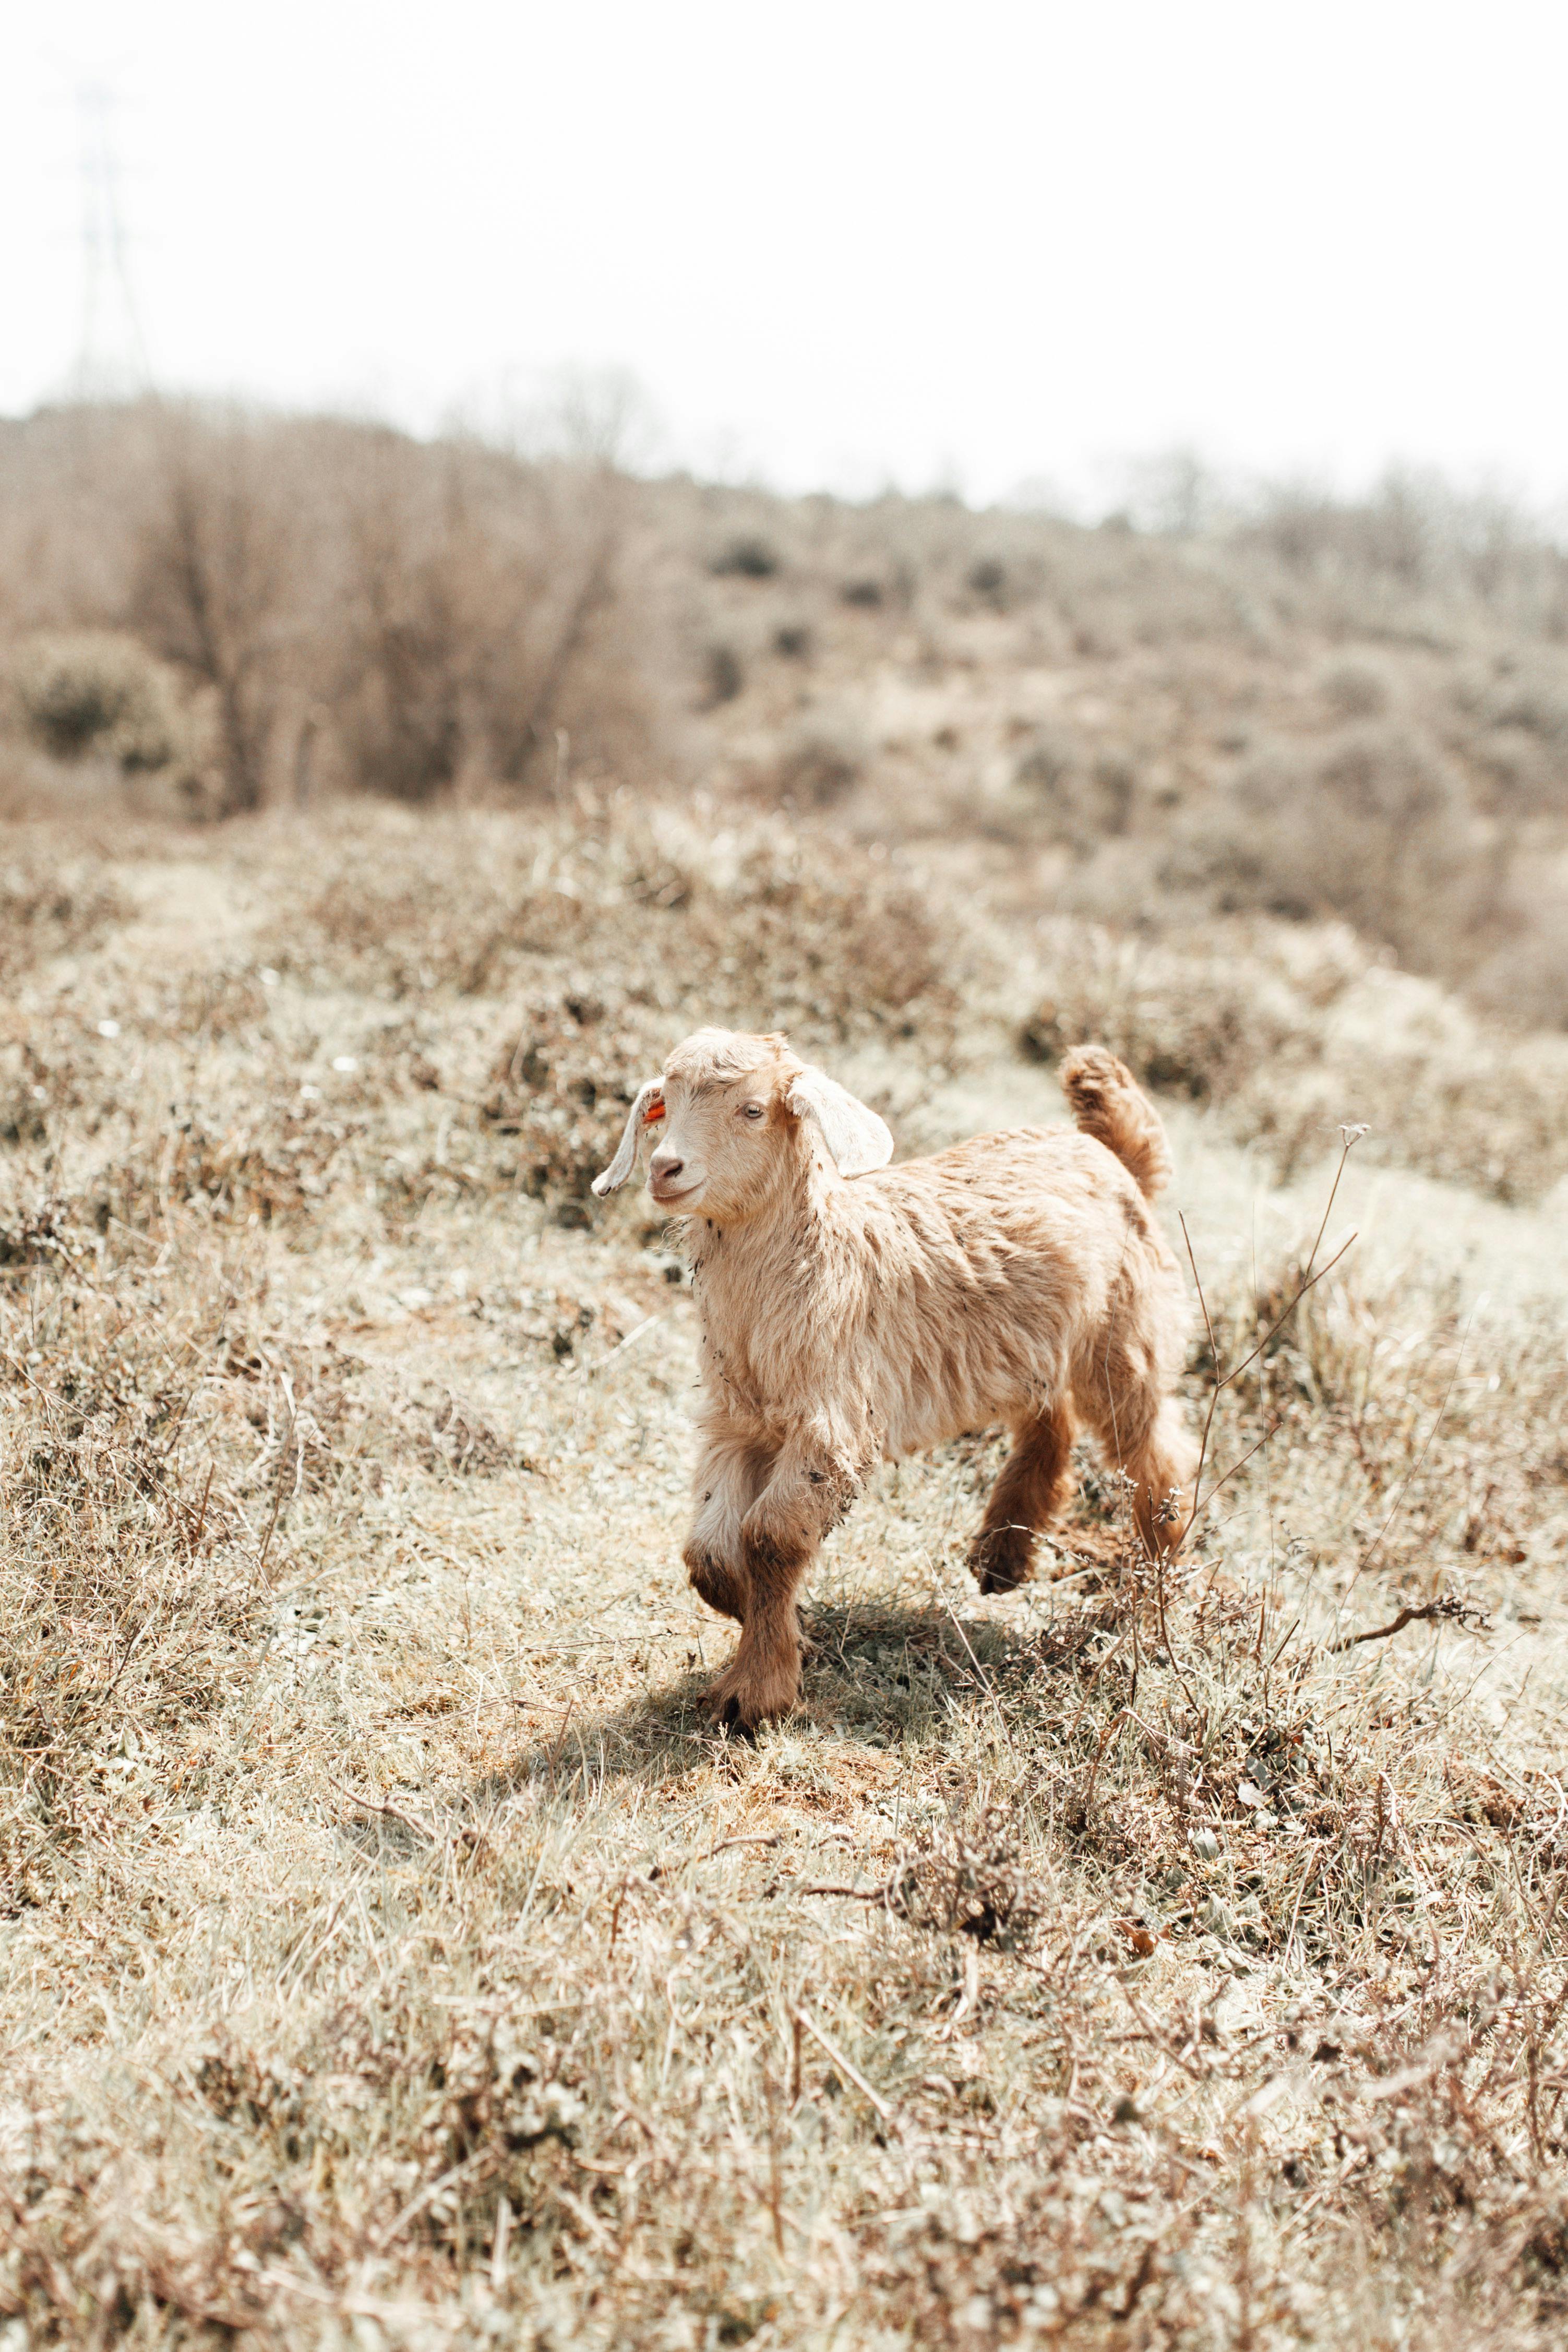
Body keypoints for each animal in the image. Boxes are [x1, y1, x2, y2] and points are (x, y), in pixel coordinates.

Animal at [593, 1028, 1196, 1729]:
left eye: (753, 1109)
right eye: (665, 1101)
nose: (665, 1168)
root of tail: (1112, 1154)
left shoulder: (831, 1426)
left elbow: (770, 1537)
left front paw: (756, 1691)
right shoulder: (734, 1420)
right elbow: (711, 1554)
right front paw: (781, 1631)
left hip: (1123, 1339)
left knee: (1156, 1449)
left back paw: (1154, 1575)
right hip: (1032, 1346)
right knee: (1052, 1424)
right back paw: (1001, 1557)